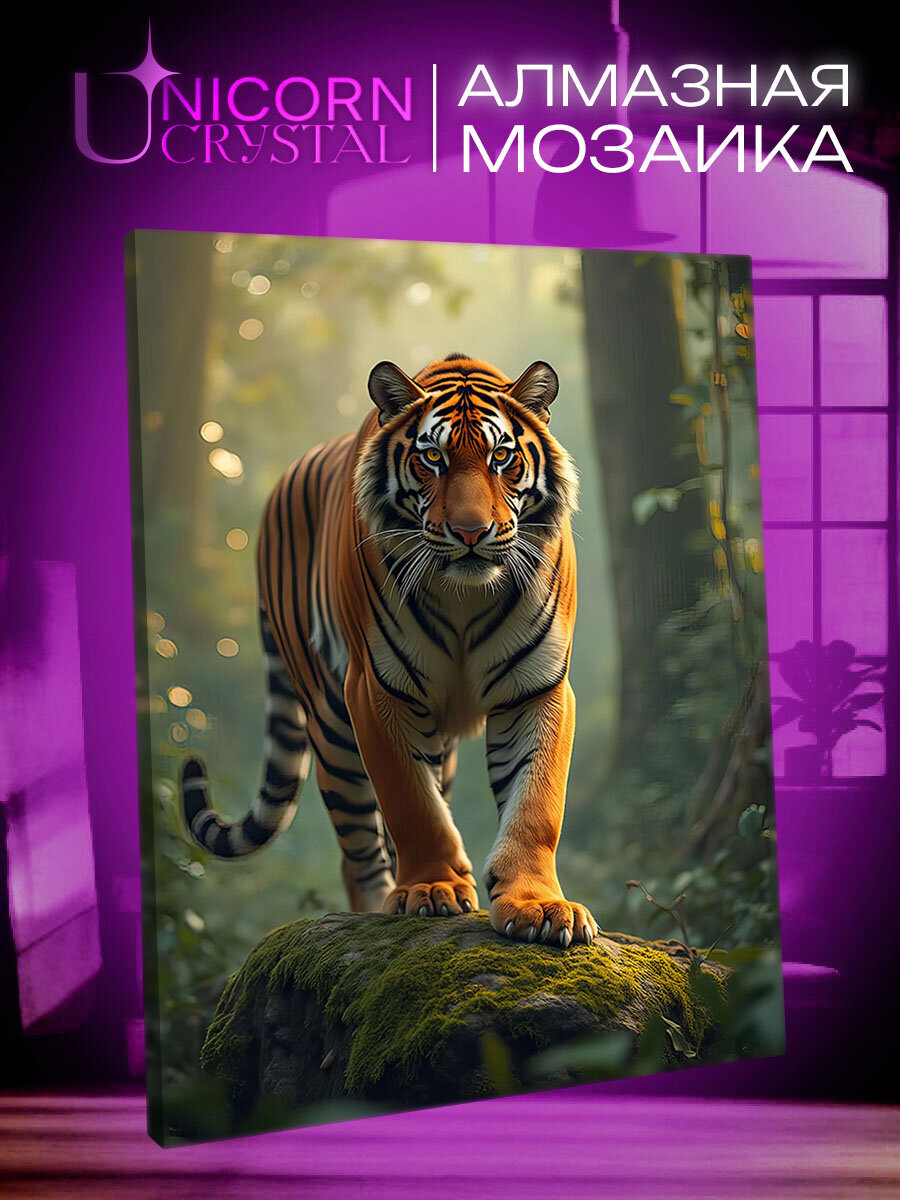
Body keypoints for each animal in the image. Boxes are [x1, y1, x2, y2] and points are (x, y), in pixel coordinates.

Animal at [181, 353, 597, 946]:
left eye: (501, 457)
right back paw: (376, 907)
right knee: (357, 846)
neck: (465, 594)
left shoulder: (538, 688)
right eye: (432, 458)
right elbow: (411, 803)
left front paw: (537, 906)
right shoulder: (378, 690)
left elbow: (535, 804)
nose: (471, 532)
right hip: (332, 726)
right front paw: (433, 888)